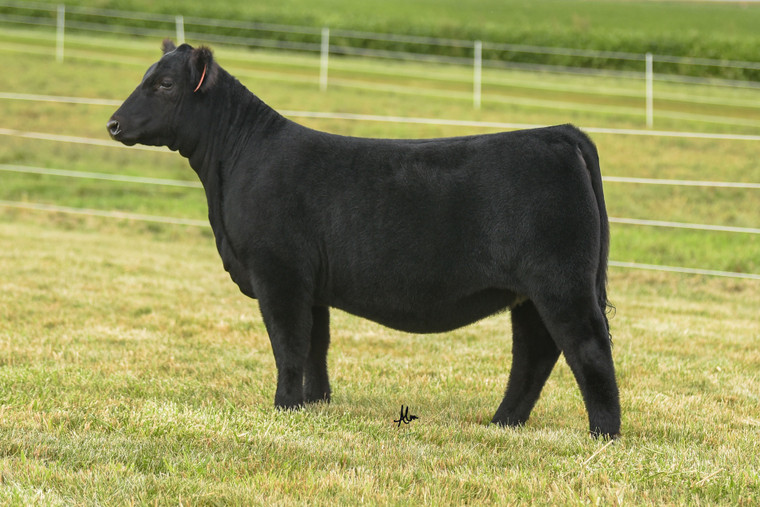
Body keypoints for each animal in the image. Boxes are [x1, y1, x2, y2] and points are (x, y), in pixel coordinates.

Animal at [107, 40, 620, 438]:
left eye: (165, 84)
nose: (113, 123)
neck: (233, 163)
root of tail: (559, 133)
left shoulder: (278, 272)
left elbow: (288, 343)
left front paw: (284, 406)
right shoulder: (310, 284)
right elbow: (315, 344)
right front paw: (316, 403)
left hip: (562, 284)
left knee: (587, 348)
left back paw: (604, 433)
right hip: (530, 293)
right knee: (535, 352)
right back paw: (503, 423)